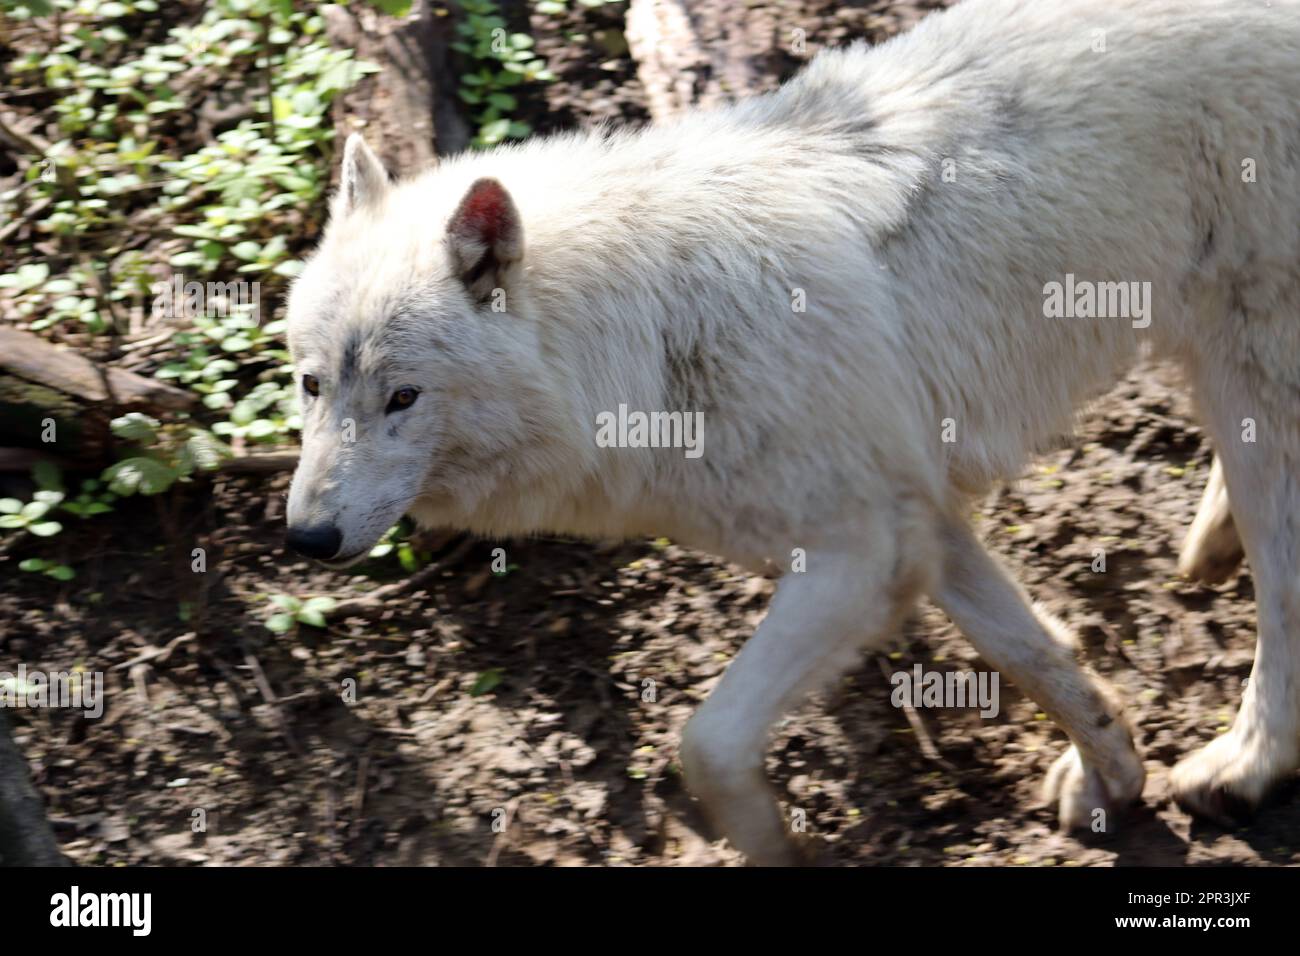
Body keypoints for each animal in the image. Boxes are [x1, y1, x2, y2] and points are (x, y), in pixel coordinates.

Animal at [285, 0, 1300, 864]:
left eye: (402, 397)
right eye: (310, 384)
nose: (305, 537)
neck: (651, 340)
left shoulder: (859, 553)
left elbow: (708, 742)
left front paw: (777, 847)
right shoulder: (921, 525)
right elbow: (1034, 654)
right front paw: (1112, 777)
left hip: (1250, 374)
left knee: (1282, 585)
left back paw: (1241, 765)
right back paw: (1207, 550)